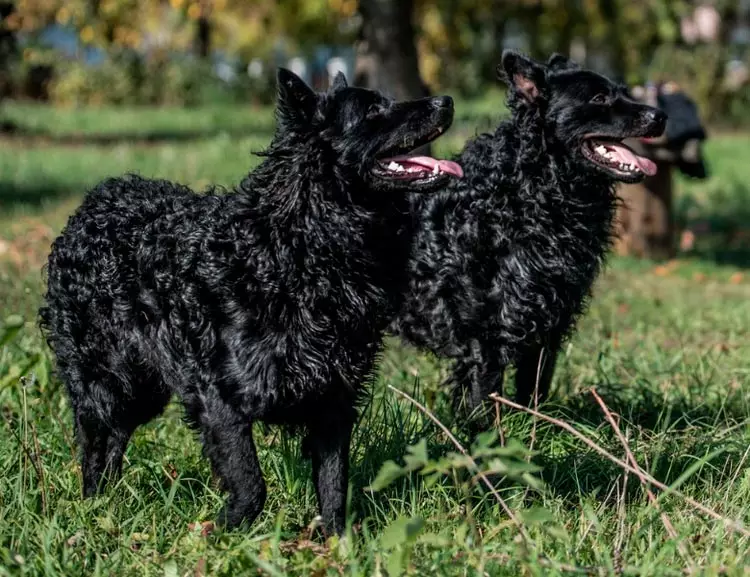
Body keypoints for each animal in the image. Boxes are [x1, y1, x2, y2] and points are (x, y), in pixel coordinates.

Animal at [42, 70, 464, 532]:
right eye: (372, 110)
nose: (446, 101)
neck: (296, 248)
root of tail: (92, 203)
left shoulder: (333, 401)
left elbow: (335, 488)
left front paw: (335, 542)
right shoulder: (220, 402)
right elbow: (251, 485)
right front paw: (223, 532)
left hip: (142, 390)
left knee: (114, 441)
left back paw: (106, 507)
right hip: (107, 381)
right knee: (95, 442)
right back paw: (92, 507)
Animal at [390, 48, 668, 410]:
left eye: (623, 92)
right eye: (599, 98)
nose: (661, 116)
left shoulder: (548, 325)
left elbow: (533, 393)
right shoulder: (487, 334)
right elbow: (483, 406)